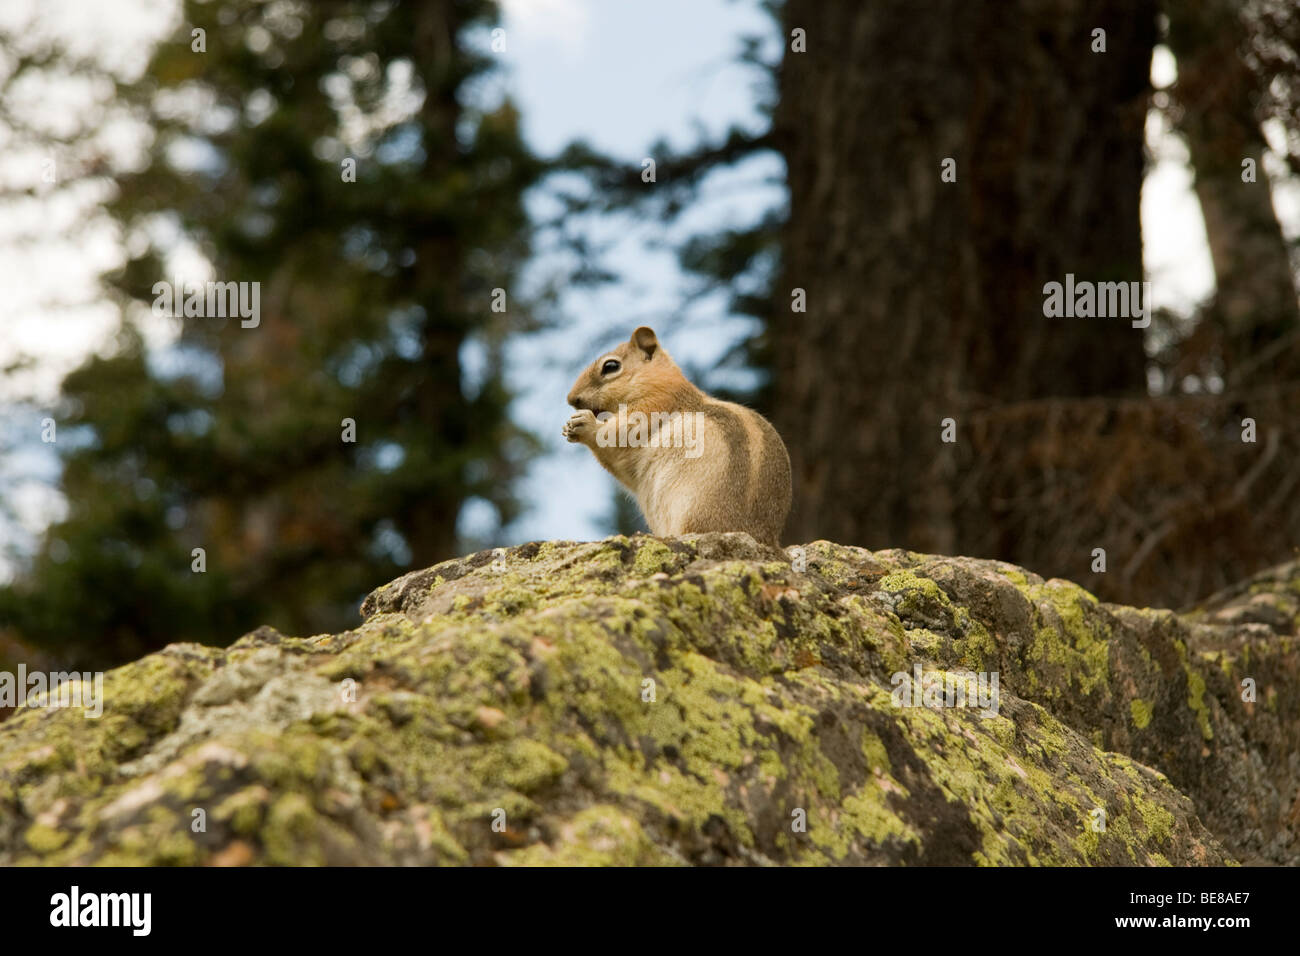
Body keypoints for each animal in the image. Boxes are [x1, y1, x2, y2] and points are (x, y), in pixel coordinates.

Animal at [563, 326, 792, 547]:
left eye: (610, 366)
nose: (571, 399)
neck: (656, 384)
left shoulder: (652, 407)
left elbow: (616, 438)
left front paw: (585, 424)